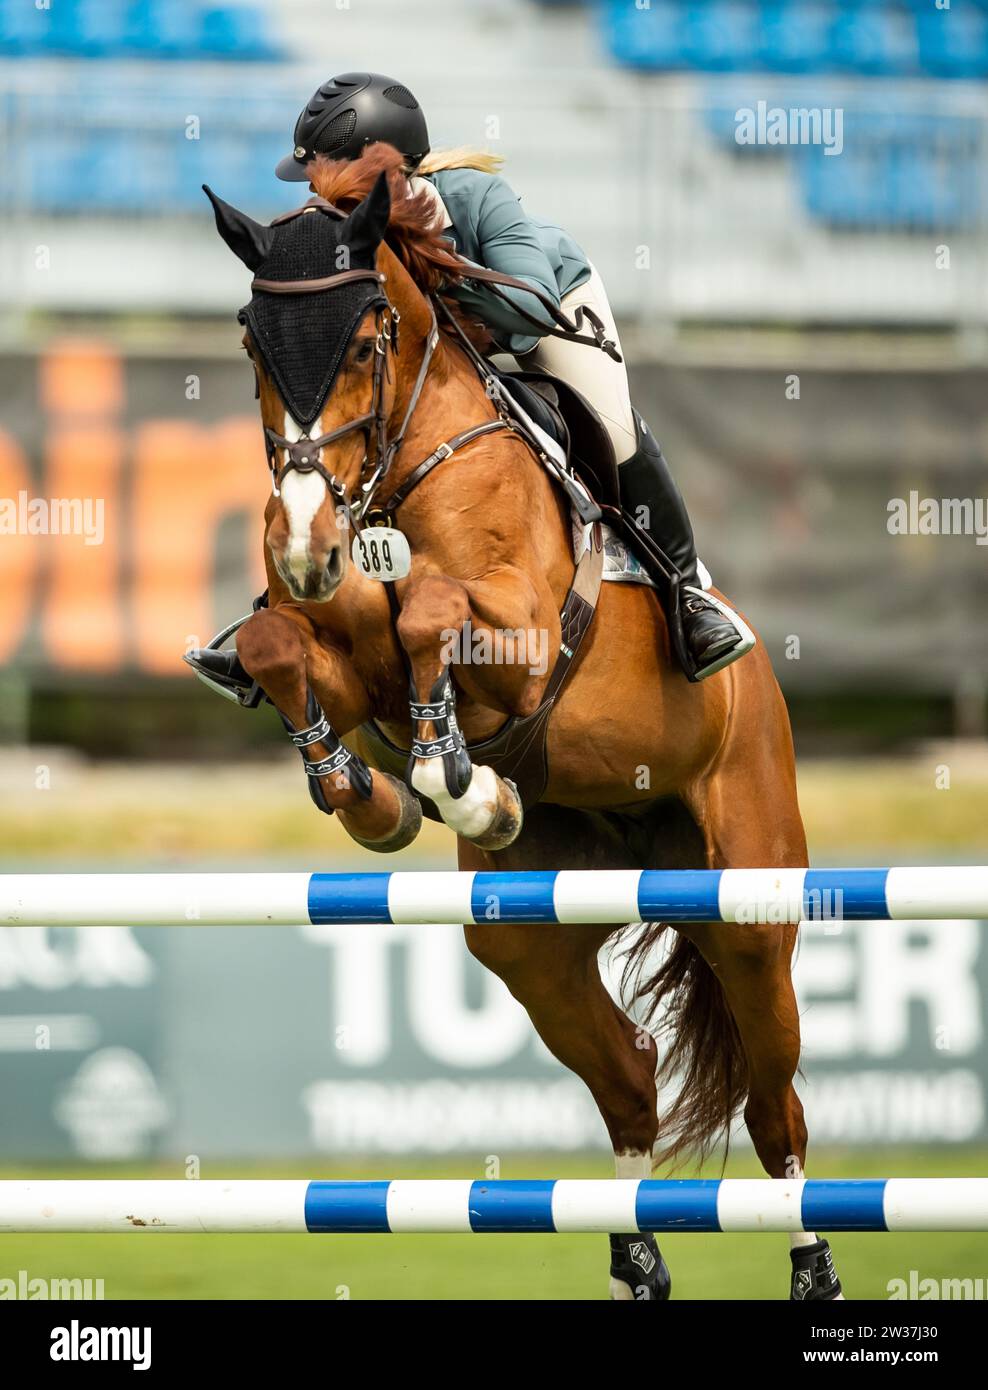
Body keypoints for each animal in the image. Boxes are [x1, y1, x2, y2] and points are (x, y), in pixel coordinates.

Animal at [202, 144, 837, 1300]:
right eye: (251, 341)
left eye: (366, 337)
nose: (308, 540)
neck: (395, 471)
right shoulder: (328, 641)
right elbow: (284, 646)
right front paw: (377, 796)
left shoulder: (525, 638)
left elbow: (431, 612)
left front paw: (455, 779)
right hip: (528, 932)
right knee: (630, 1073)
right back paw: (634, 1255)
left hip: (748, 898)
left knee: (776, 1108)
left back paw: (811, 1266)